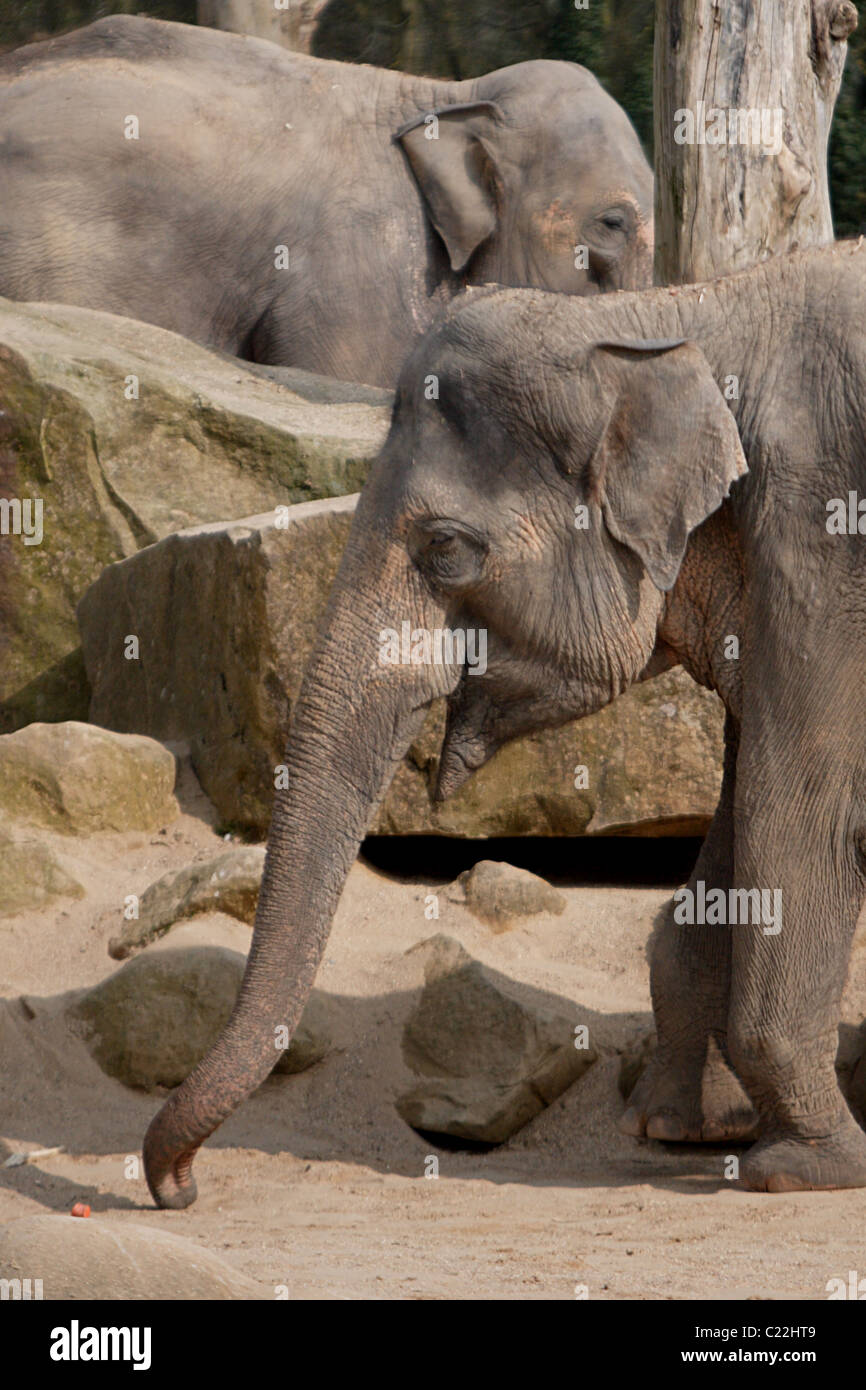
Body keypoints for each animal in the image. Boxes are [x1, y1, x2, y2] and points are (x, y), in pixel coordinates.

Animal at [144, 237, 866, 1207]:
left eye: (445, 547)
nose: (180, 1186)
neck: (675, 313)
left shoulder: (825, 538)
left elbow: (802, 815)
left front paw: (809, 1169)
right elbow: (745, 809)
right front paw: (681, 1130)